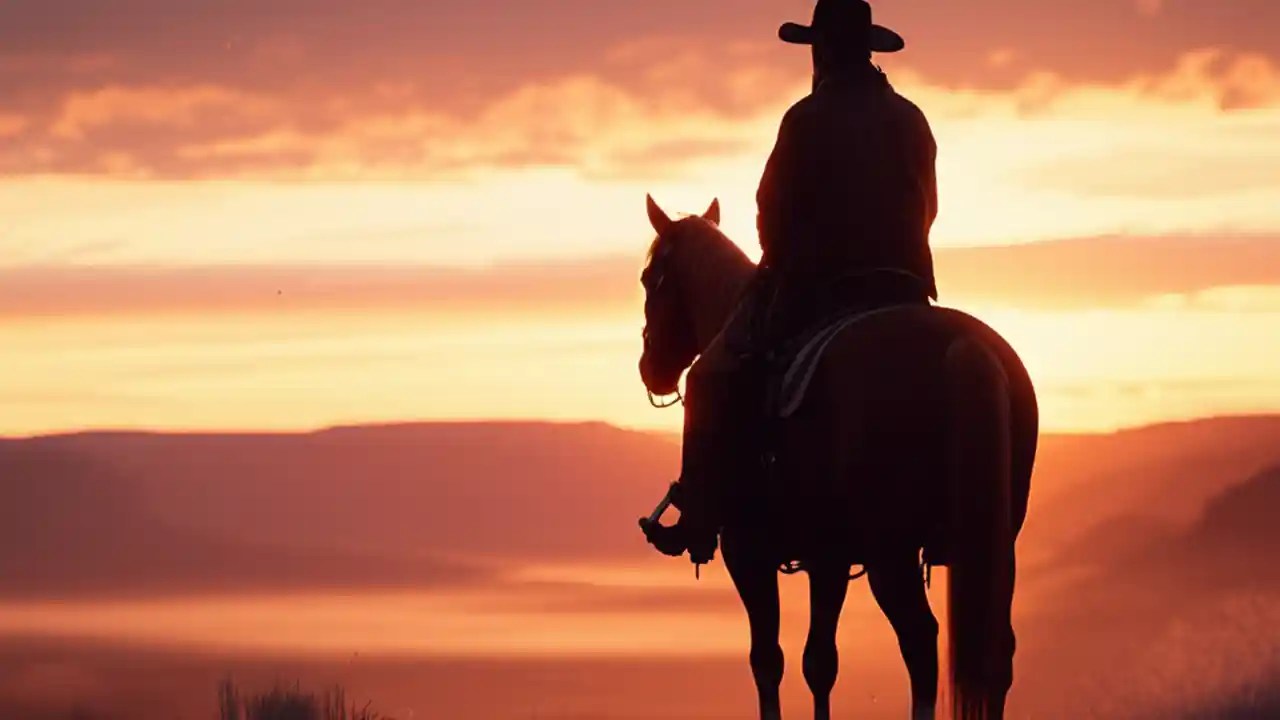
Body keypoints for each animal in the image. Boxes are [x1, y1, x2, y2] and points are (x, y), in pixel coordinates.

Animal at [636, 196, 1038, 720]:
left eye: (649, 279)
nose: (650, 368)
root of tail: (967, 348)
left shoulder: (747, 551)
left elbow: (768, 660)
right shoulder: (828, 556)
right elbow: (820, 662)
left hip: (891, 553)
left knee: (919, 640)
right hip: (994, 544)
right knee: (993, 652)